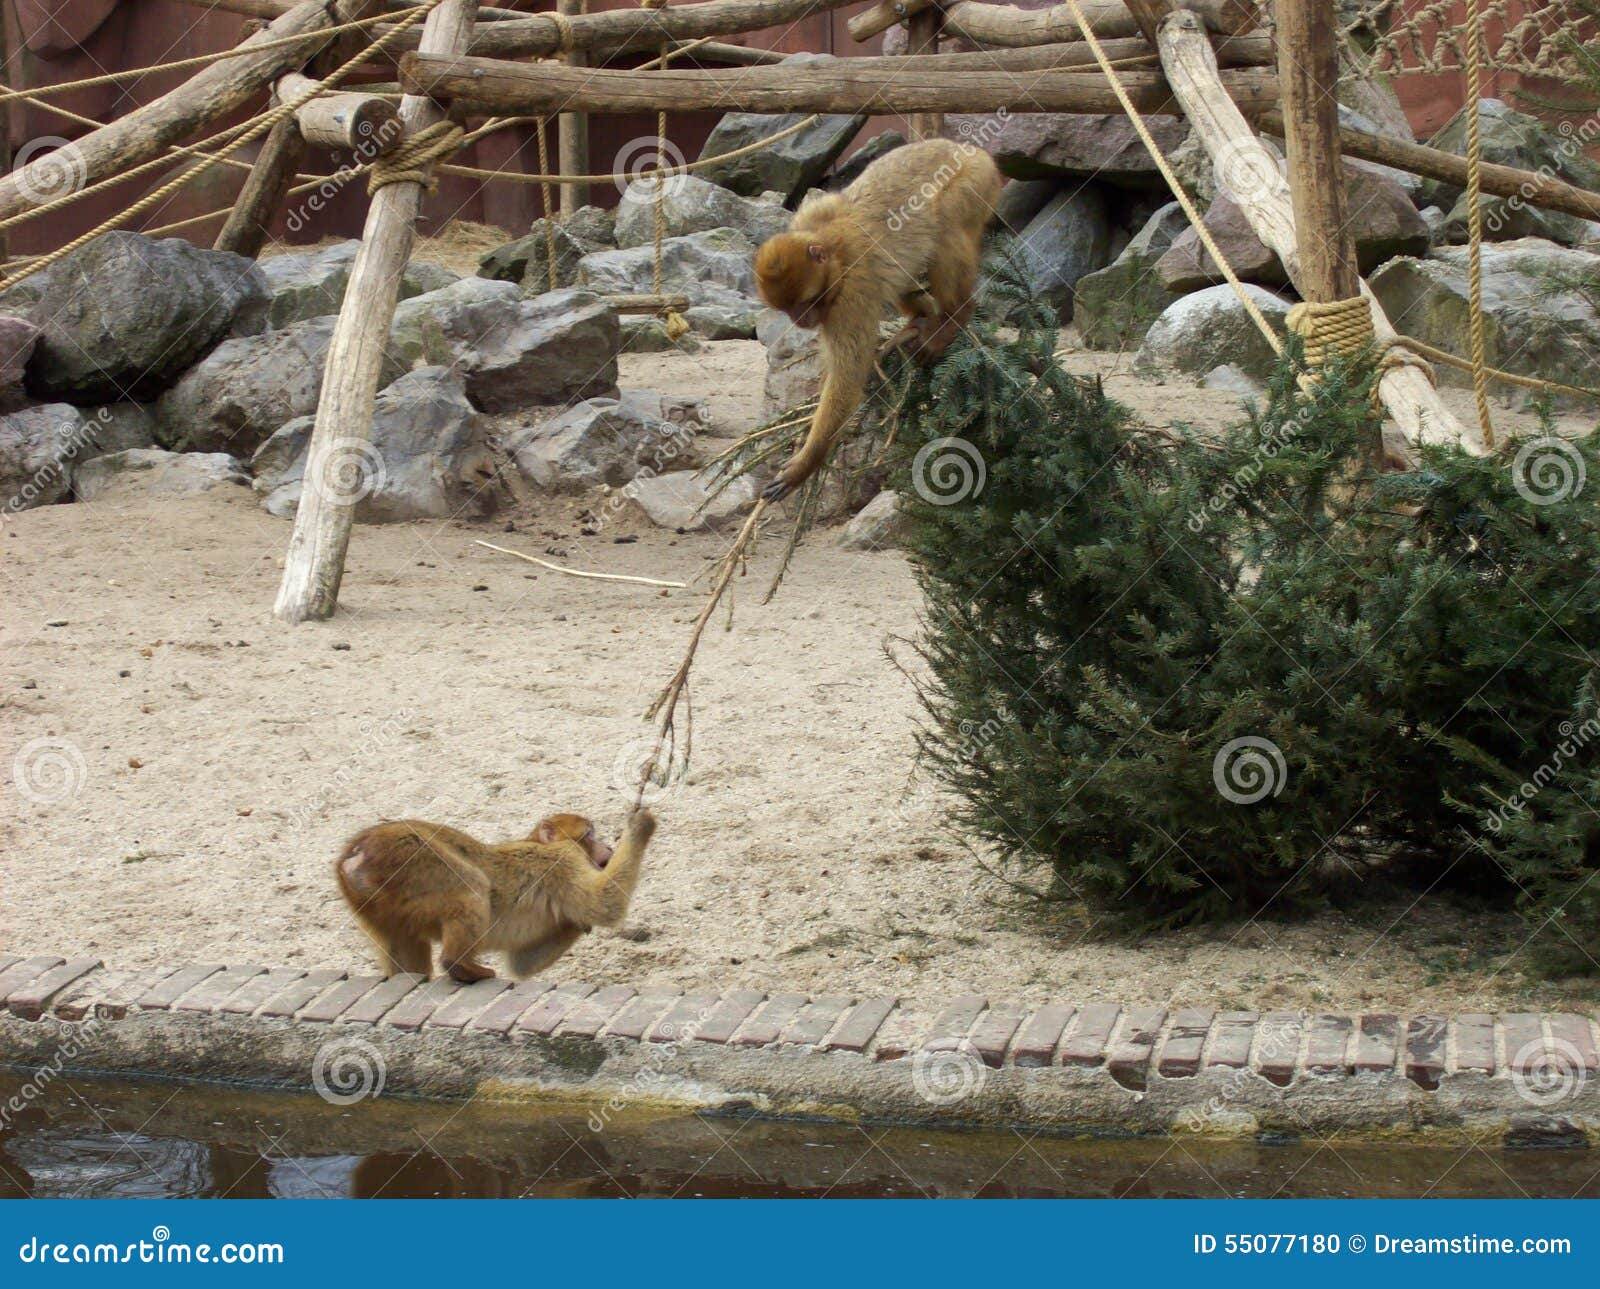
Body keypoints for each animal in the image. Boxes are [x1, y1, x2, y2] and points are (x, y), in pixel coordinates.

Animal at [334, 809, 655, 983]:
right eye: (589, 834)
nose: (608, 848)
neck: (537, 842)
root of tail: (356, 852)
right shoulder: (562, 859)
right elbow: (604, 905)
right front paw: (641, 826)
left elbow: (521, 962)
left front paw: (577, 925)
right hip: (409, 858)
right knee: (473, 882)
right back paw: (459, 965)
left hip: (373, 903)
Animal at [753, 137, 1001, 501]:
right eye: (789, 311)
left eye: (806, 303)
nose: (801, 321)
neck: (833, 255)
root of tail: (967, 148)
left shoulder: (851, 294)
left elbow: (848, 377)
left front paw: (806, 462)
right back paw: (922, 317)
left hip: (976, 182)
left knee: (944, 225)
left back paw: (957, 315)